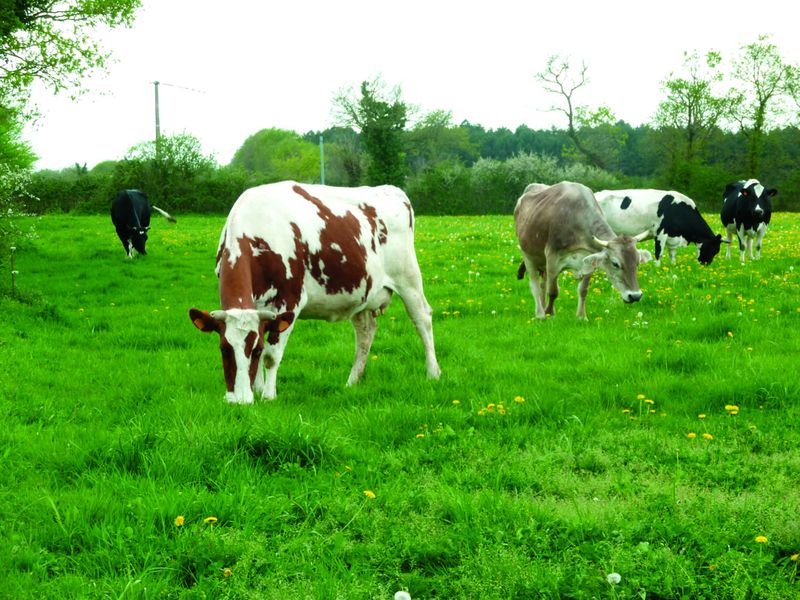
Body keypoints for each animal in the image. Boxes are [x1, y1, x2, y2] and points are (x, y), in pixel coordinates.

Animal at [189, 181, 441, 404]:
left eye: (256, 348)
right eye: (224, 348)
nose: (238, 401)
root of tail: (391, 190)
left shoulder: (289, 301)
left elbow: (271, 356)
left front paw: (268, 396)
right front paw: (256, 391)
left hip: (408, 279)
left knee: (422, 319)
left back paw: (433, 373)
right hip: (363, 292)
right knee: (366, 332)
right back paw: (352, 382)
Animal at [514, 181, 652, 320]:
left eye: (637, 263)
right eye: (615, 264)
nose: (635, 296)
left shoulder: (588, 260)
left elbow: (583, 290)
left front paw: (581, 316)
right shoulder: (552, 257)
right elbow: (553, 291)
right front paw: (549, 313)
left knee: (543, 284)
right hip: (528, 256)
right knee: (535, 285)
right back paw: (540, 313)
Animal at [595, 189, 724, 266]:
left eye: (717, 251)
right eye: (713, 248)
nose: (705, 263)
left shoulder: (673, 236)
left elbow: (672, 253)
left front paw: (673, 265)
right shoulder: (660, 232)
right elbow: (659, 252)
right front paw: (657, 267)